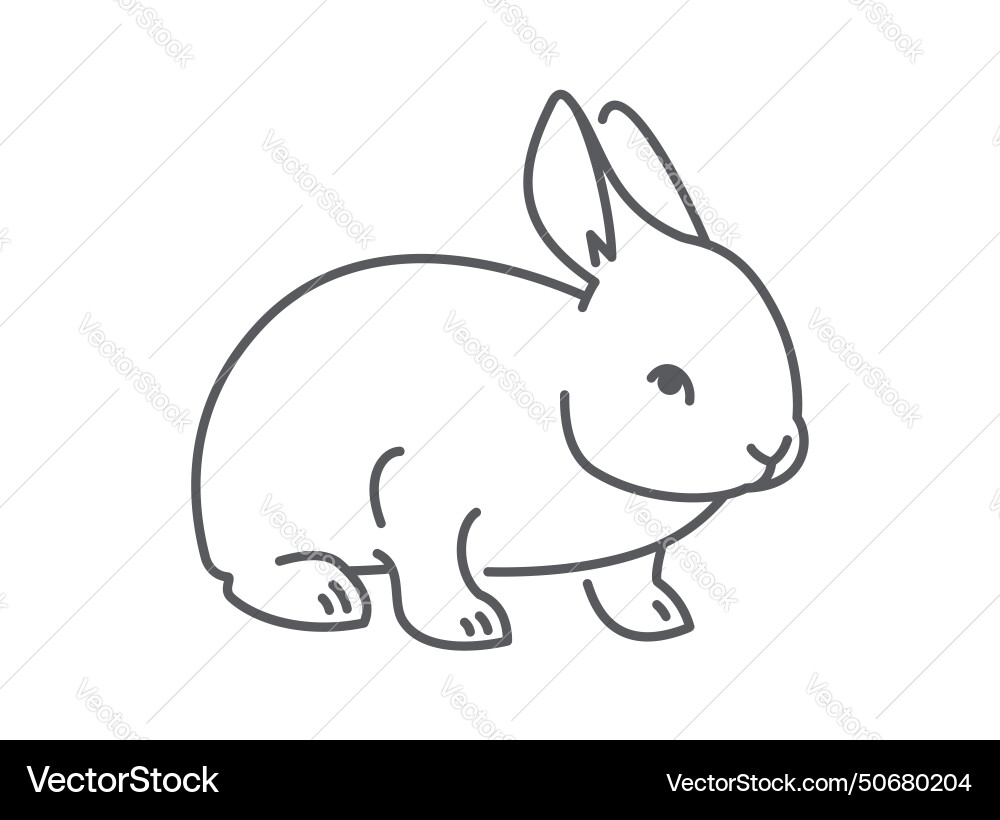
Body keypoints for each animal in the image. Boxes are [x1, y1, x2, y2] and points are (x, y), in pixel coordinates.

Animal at [191, 90, 807, 651]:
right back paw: (327, 598)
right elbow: (431, 561)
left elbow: (632, 570)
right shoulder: (419, 494)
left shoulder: (632, 552)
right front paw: (471, 626)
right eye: (668, 381)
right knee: (254, 570)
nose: (774, 450)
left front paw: (657, 616)